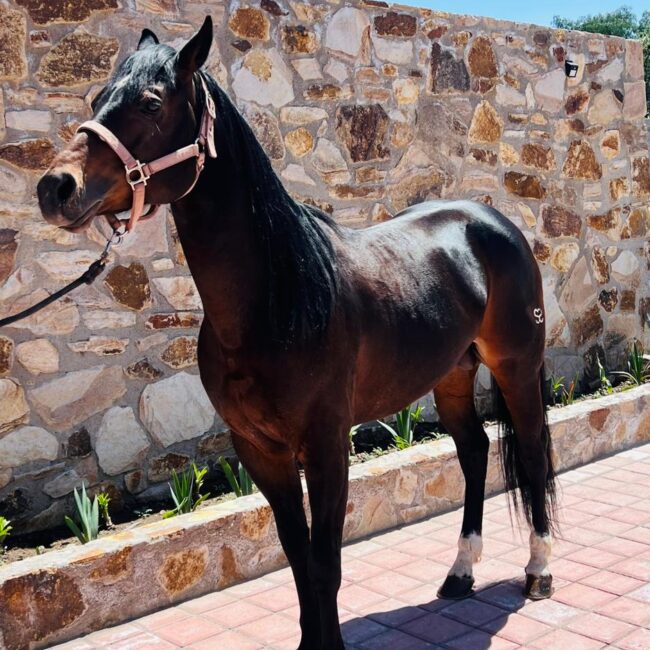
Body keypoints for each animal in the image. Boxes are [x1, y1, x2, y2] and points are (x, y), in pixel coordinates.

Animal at [36, 17, 557, 649]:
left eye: (151, 102)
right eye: (96, 99)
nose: (55, 188)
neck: (275, 300)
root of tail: (492, 222)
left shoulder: (328, 446)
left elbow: (325, 561)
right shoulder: (262, 451)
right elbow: (297, 558)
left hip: (516, 367)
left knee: (531, 450)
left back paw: (538, 570)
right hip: (452, 375)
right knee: (475, 451)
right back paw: (460, 573)